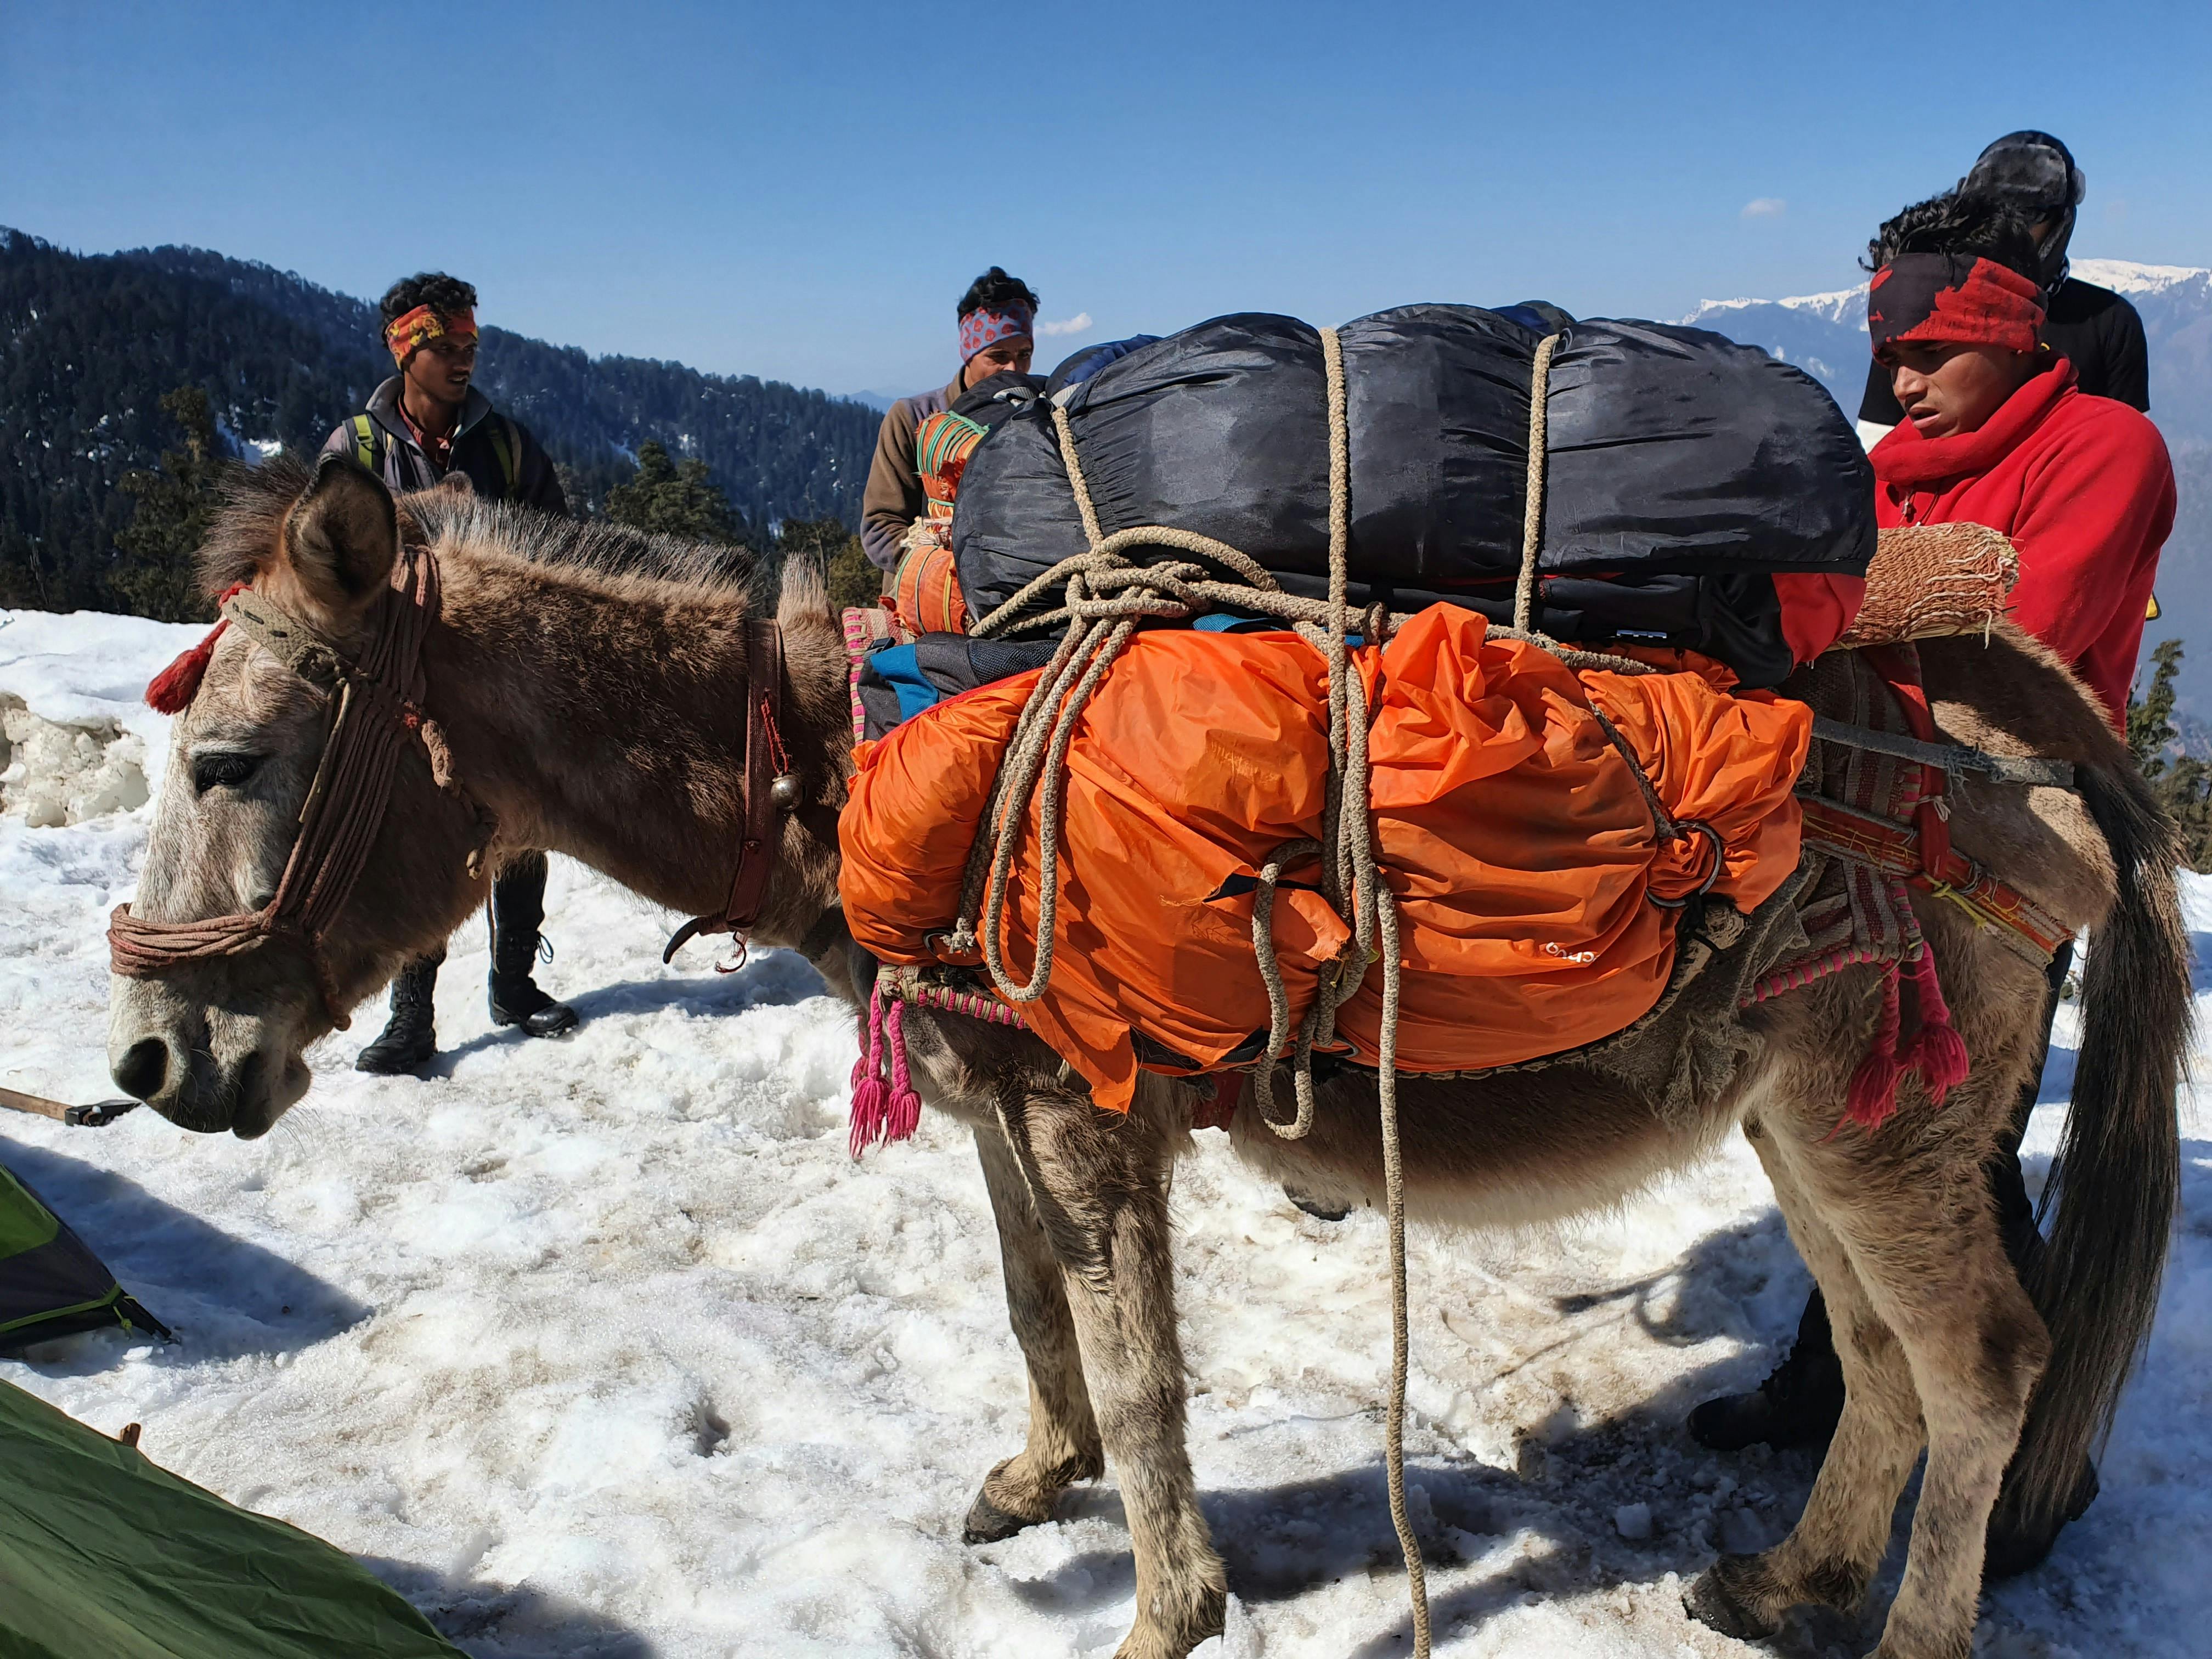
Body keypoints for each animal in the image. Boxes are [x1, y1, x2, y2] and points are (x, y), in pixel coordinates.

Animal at [107, 455, 2186, 1659]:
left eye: (227, 761)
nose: (146, 1059)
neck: (852, 753)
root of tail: (2014, 691)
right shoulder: (1003, 1111)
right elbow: (1041, 1312)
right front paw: (1038, 1480)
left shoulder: (1088, 1121)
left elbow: (1139, 1361)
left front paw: (1164, 1607)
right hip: (1811, 1123)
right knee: (1885, 1363)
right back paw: (1787, 1583)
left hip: (1881, 1124)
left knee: (1979, 1366)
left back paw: (1902, 1632)